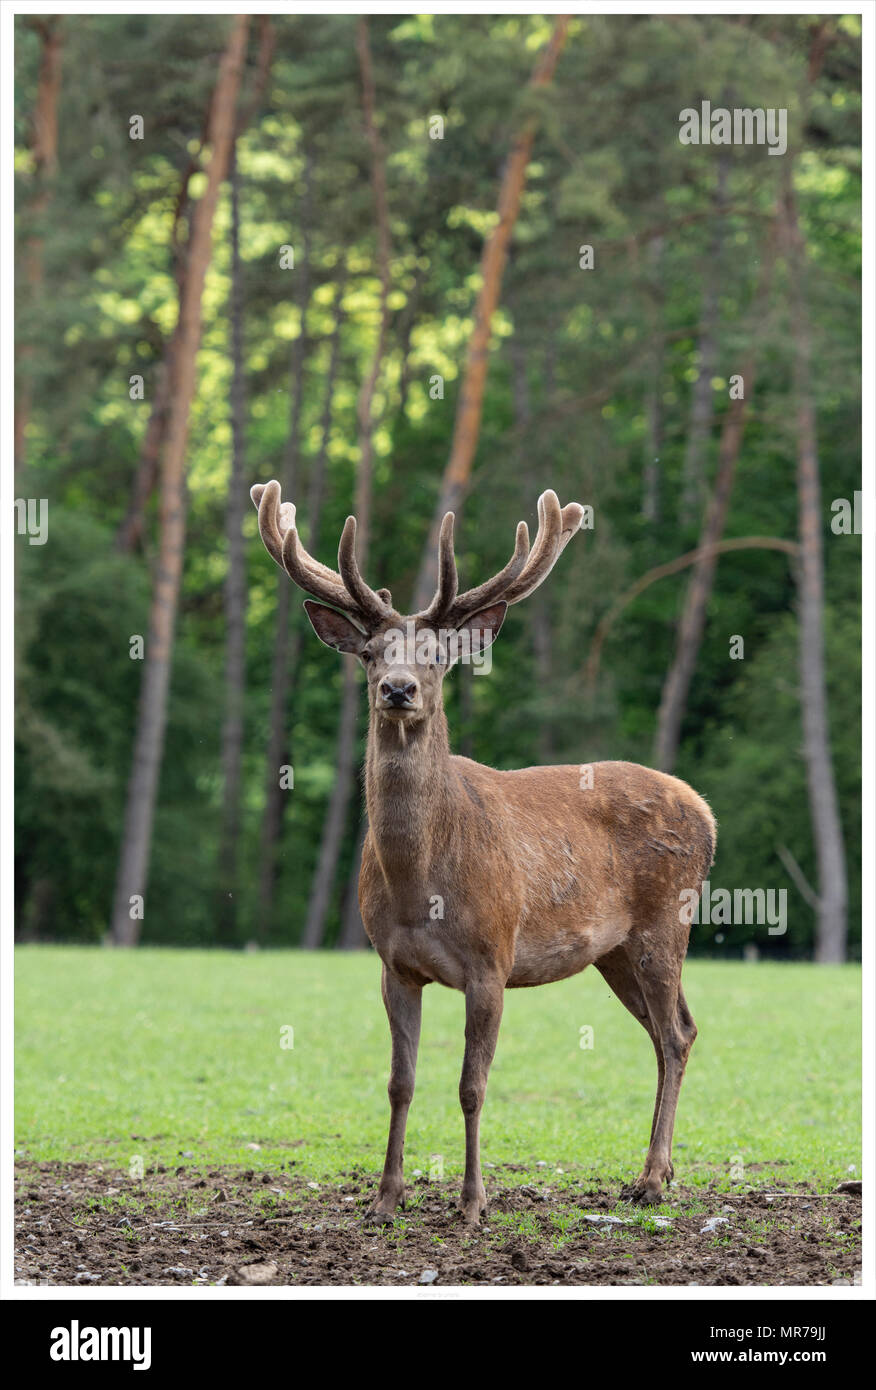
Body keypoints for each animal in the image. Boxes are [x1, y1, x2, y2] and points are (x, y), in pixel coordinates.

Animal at [251, 479, 715, 1224]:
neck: (422, 884)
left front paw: (472, 1202)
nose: (399, 689)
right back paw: (659, 1173)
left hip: (664, 923)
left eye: (438, 657)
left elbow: (472, 1084)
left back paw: (649, 1179)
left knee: (674, 1035)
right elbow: (400, 1082)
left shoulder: (492, 960)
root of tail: (705, 811)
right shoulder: (393, 964)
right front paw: (385, 1197)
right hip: (613, 949)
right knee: (674, 1029)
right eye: (371, 652)